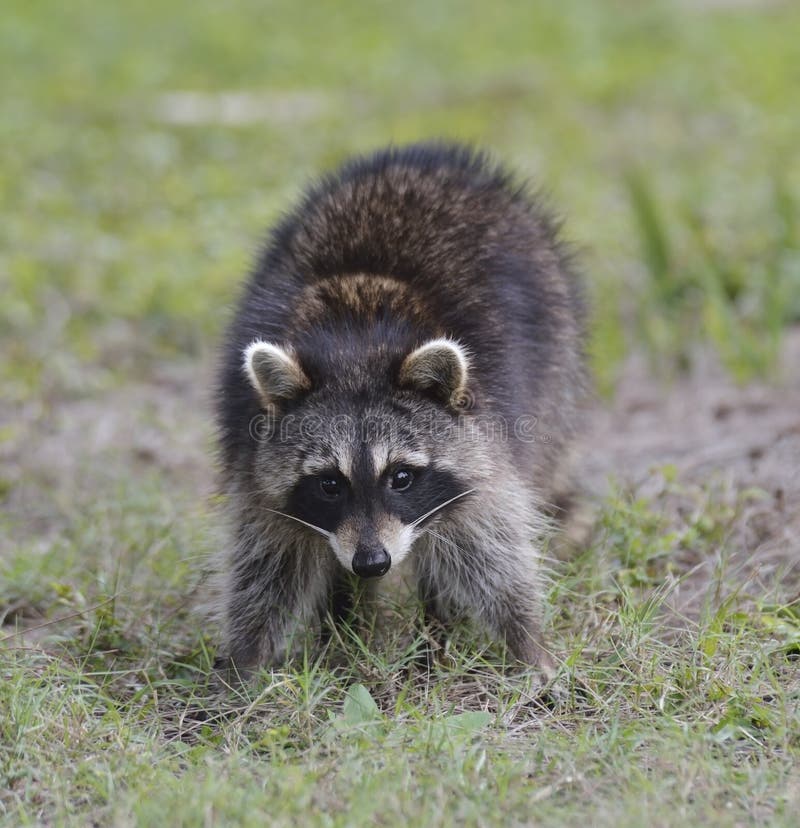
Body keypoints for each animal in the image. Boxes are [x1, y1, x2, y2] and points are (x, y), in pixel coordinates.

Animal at [214, 142, 585, 677]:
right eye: (330, 484)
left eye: (402, 477)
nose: (372, 563)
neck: (354, 346)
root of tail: (430, 157)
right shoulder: (253, 457)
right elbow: (266, 563)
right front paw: (247, 661)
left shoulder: (487, 440)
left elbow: (490, 547)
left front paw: (528, 643)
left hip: (555, 359)